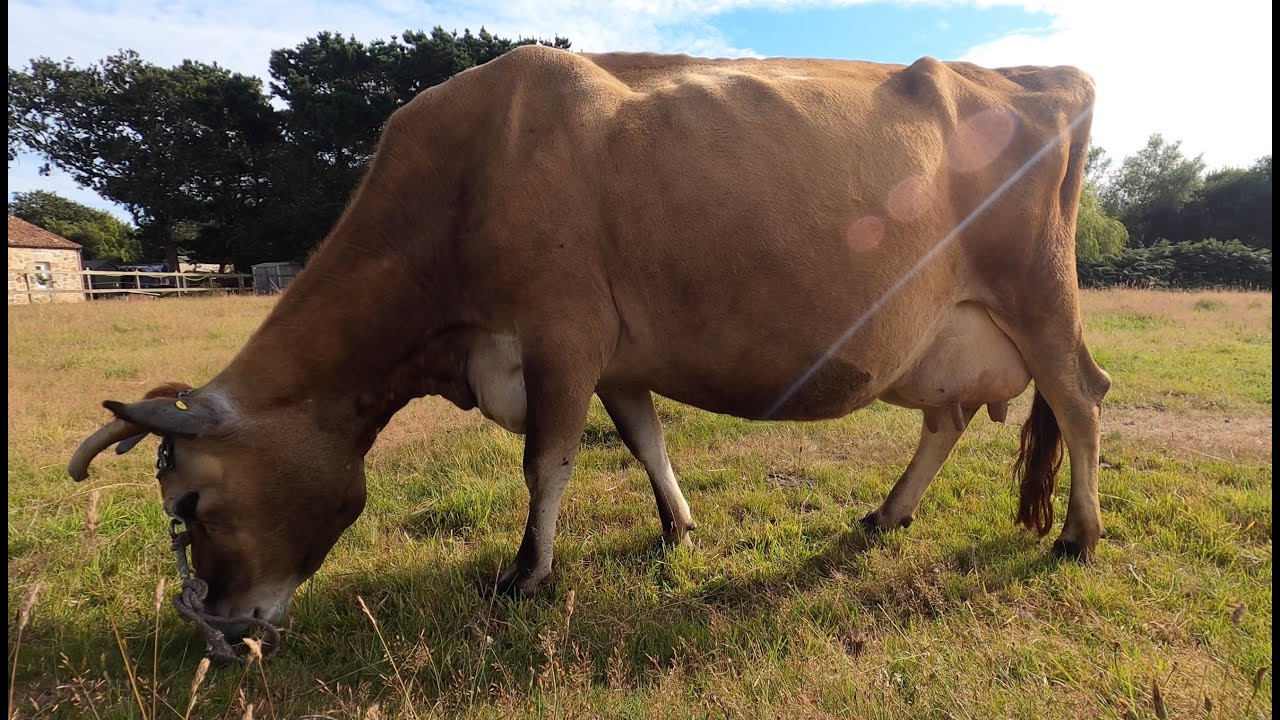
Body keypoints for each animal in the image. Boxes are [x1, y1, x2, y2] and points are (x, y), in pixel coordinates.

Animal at [68, 45, 1110, 636]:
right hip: (949, 331)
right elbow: (645, 440)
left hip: (1038, 294)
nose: (225, 625)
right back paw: (887, 515)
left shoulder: (560, 334)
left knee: (1079, 398)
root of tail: (1041, 75)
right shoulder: (617, 354)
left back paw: (1078, 535)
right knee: (948, 419)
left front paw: (525, 576)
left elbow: (548, 461)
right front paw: (677, 527)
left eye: (190, 502)